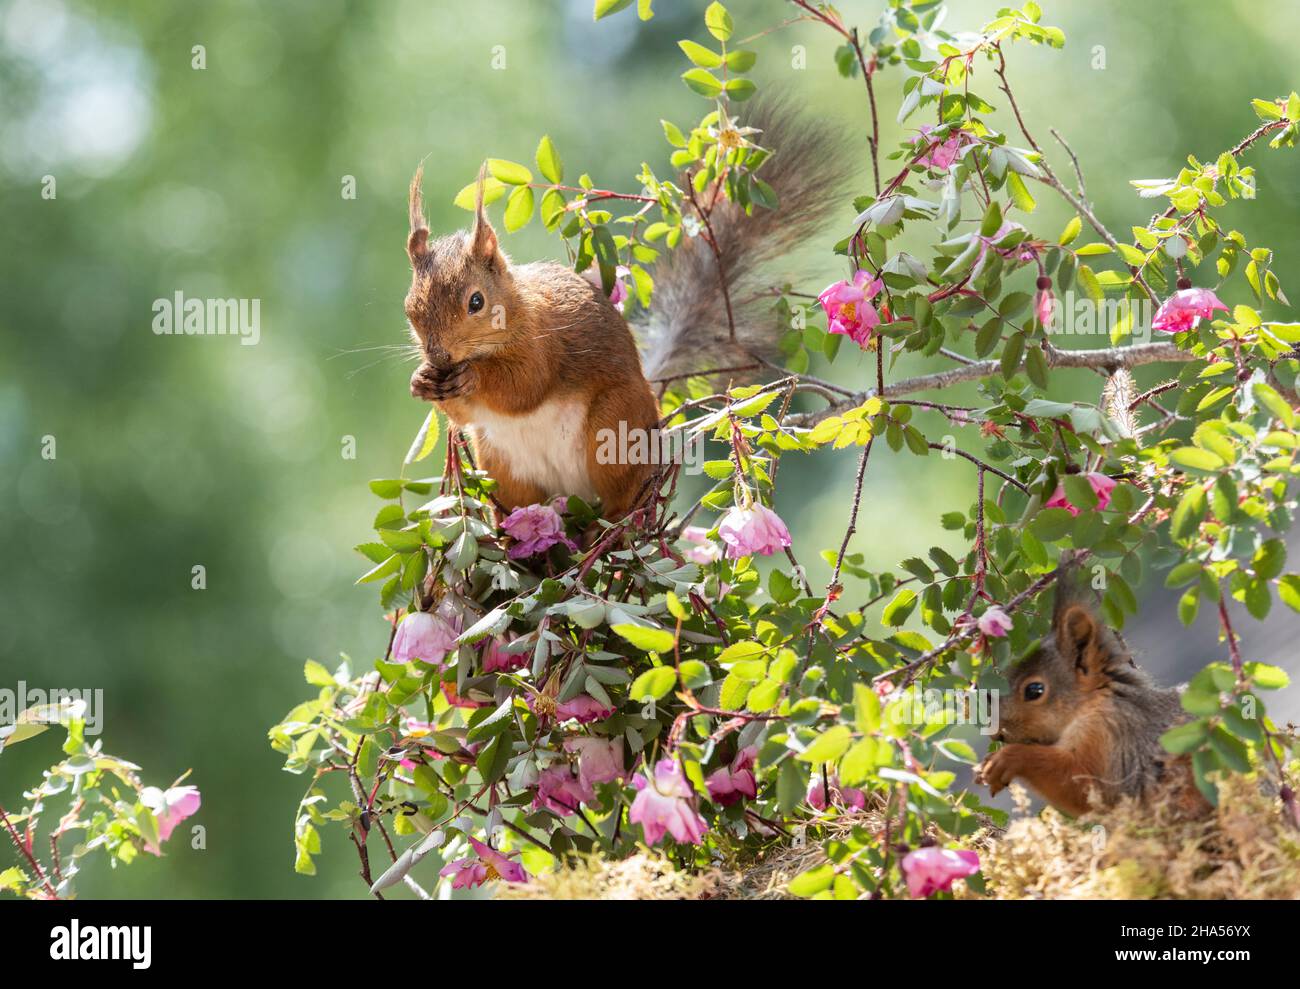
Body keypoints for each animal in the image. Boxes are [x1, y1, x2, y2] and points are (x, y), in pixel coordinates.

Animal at [402, 99, 851, 519]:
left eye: (476, 302)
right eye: (410, 309)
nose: (439, 356)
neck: (515, 310)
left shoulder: (543, 343)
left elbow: (524, 383)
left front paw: (472, 377)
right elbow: (464, 415)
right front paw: (422, 381)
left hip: (613, 428)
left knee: (621, 491)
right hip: (501, 460)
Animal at [977, 562, 1211, 819]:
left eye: (1034, 690)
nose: (995, 734)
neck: (1092, 702)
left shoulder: (1110, 735)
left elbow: (1090, 788)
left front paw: (1008, 758)